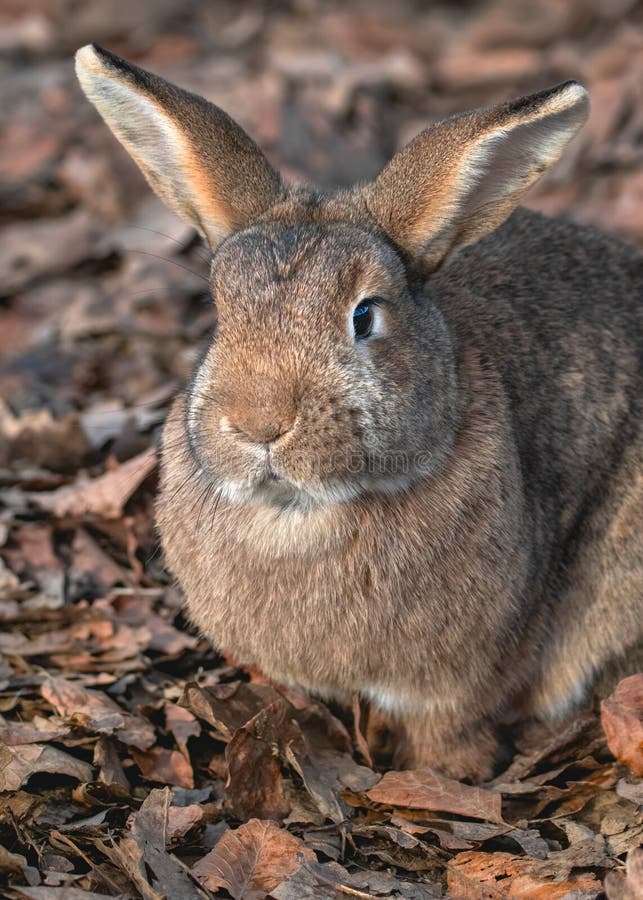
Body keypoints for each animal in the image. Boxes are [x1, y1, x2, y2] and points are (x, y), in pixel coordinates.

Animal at [76, 43, 643, 782]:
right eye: (219, 314)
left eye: (364, 317)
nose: (259, 425)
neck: (300, 515)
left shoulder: (454, 683)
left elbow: (449, 731)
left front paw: (453, 776)